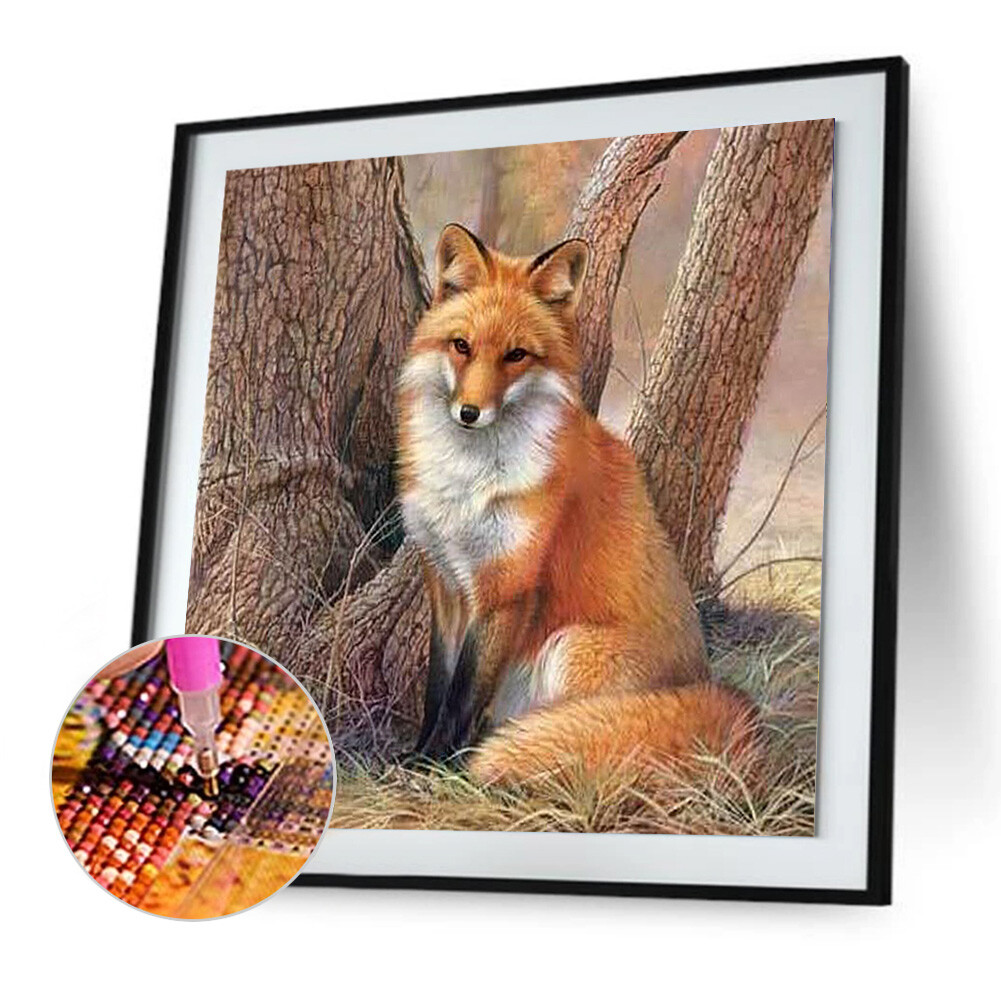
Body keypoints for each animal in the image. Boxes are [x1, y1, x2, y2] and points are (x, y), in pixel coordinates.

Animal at [396, 223, 757, 788]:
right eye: (461, 346)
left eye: (516, 355)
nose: (469, 413)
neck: (469, 483)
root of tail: (705, 685)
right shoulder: (447, 583)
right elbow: (438, 688)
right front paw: (416, 754)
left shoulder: (506, 588)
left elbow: (463, 694)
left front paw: (437, 766)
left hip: (570, 648)